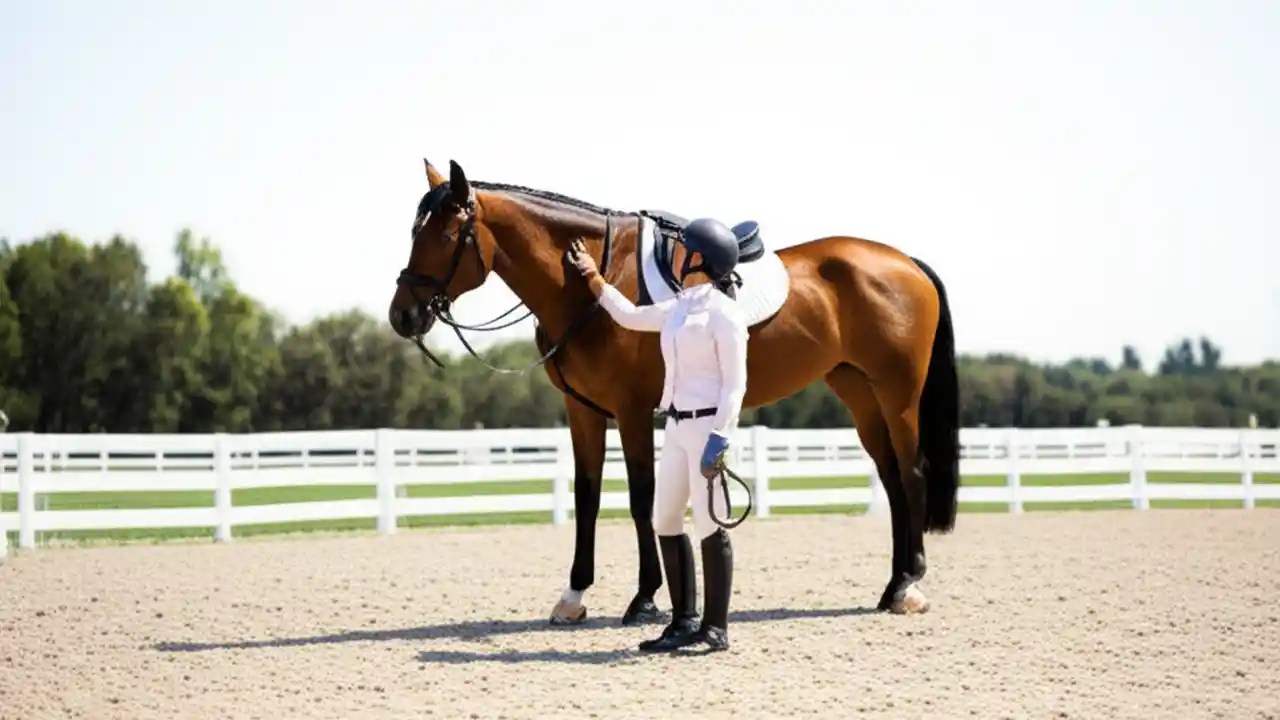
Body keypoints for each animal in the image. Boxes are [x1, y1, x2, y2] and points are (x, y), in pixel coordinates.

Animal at [388, 158, 960, 625]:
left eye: (445, 236)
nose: (402, 316)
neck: (589, 287)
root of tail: (906, 262)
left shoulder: (633, 411)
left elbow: (641, 497)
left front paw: (644, 600)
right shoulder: (583, 410)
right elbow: (588, 496)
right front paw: (574, 596)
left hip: (897, 393)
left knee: (911, 473)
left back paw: (907, 586)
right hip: (857, 391)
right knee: (890, 477)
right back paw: (891, 586)